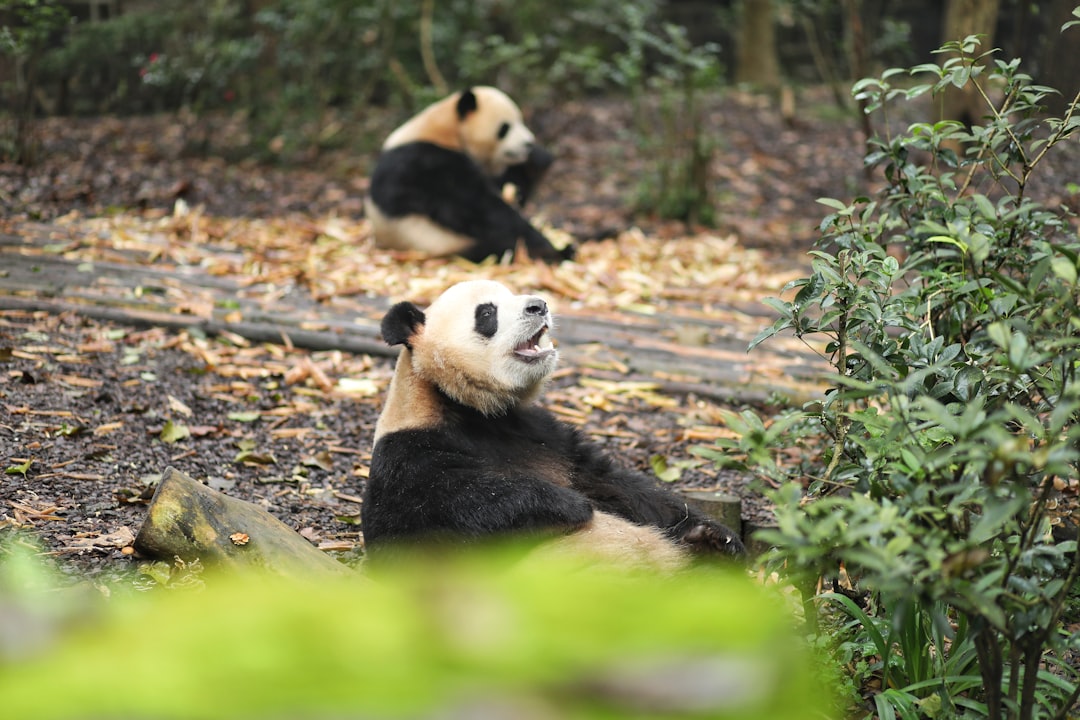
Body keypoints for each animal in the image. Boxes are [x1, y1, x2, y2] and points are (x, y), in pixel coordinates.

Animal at [361, 280, 746, 571]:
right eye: (487, 312)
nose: (539, 305)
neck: (470, 408)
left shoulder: (545, 434)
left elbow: (613, 482)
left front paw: (715, 535)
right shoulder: (409, 453)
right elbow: (458, 506)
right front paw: (569, 504)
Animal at [366, 87, 571, 264]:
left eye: (521, 121)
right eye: (505, 127)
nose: (528, 143)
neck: (445, 129)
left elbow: (508, 190)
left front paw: (537, 159)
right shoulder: (423, 161)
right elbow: (474, 206)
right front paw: (546, 244)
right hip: (437, 241)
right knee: (499, 246)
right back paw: (555, 252)